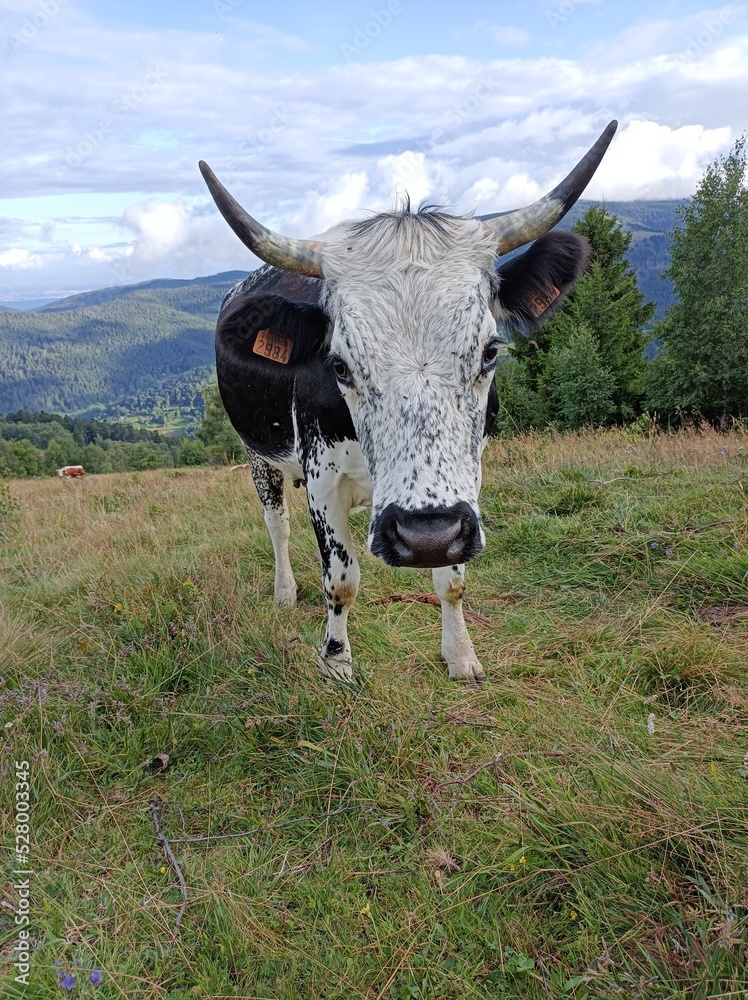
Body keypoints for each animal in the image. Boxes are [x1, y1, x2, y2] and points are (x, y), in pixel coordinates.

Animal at [199, 121, 617, 685]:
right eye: (338, 365)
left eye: (490, 350)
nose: (421, 537)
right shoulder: (321, 482)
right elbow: (340, 581)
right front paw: (336, 663)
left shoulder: (465, 486)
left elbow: (452, 579)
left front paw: (461, 655)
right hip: (259, 457)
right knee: (277, 526)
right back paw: (284, 592)